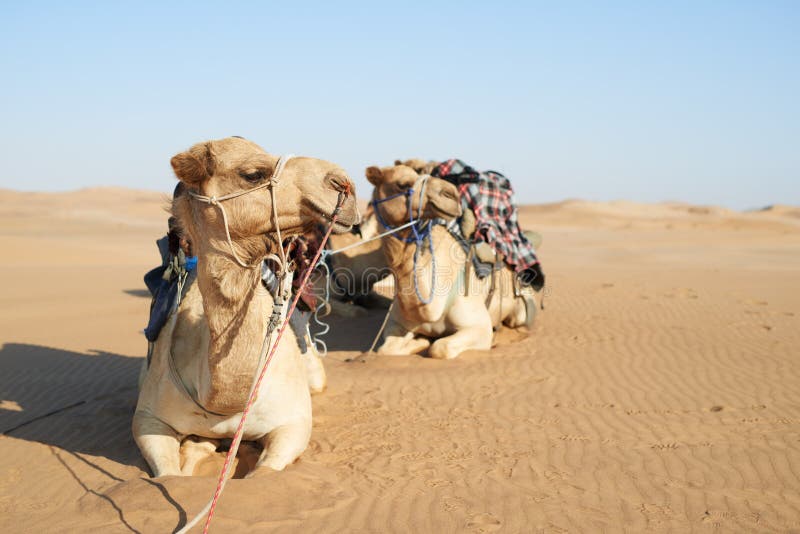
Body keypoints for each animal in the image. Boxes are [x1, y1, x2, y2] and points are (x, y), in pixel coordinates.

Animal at [133, 137, 359, 477]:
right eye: (252, 174)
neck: (224, 403)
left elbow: (262, 473)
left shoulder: (294, 423)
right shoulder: (148, 418)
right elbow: (169, 475)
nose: (343, 184)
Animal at [367, 164, 536, 359]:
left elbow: (439, 348)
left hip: (521, 308)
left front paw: (426, 341)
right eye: (402, 184)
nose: (451, 194)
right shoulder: (397, 323)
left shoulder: (479, 326)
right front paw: (422, 339)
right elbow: (386, 349)